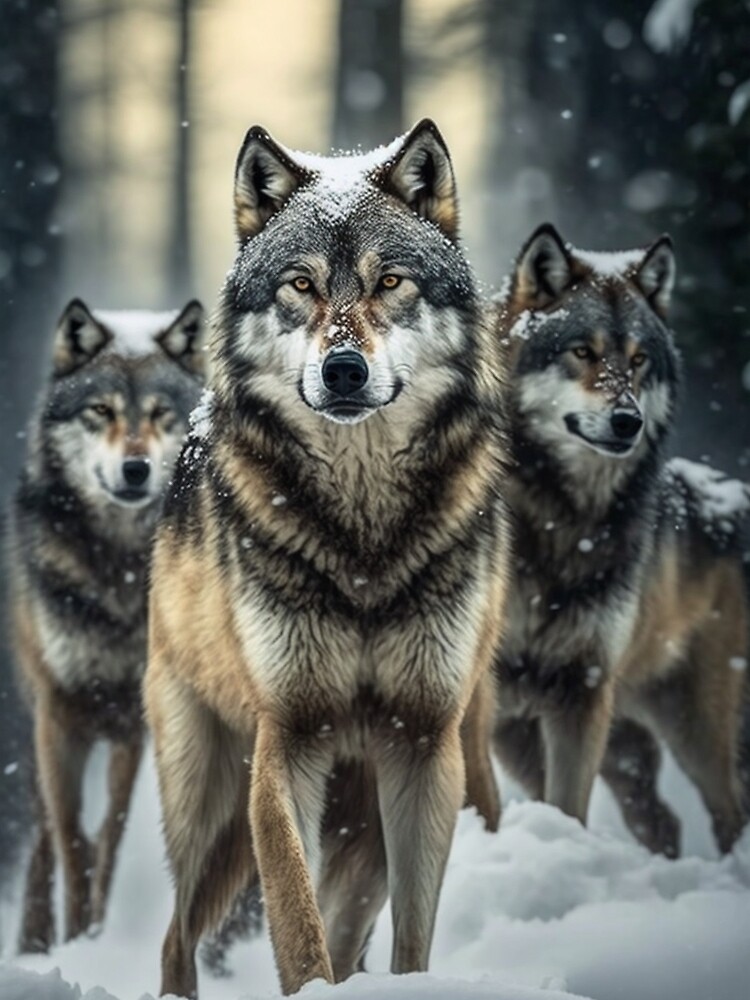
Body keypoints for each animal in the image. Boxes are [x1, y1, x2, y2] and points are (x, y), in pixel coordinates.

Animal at [9, 299, 205, 952]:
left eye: (161, 413)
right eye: (102, 411)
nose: (136, 469)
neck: (117, 570)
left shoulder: (129, 723)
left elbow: (111, 838)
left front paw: (92, 931)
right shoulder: (59, 715)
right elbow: (70, 840)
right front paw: (74, 938)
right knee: (45, 834)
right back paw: (35, 936)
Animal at [144, 119, 509, 998]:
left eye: (391, 282)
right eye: (302, 285)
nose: (345, 369)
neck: (363, 533)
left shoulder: (425, 741)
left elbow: (411, 937)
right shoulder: (289, 739)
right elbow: (295, 923)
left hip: (364, 823)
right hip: (207, 799)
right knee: (176, 936)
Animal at [487, 223, 748, 856]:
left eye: (638, 360)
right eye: (582, 351)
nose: (628, 420)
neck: (560, 518)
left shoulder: (580, 690)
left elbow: (567, 806)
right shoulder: (497, 704)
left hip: (696, 729)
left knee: (729, 813)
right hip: (624, 741)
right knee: (661, 819)